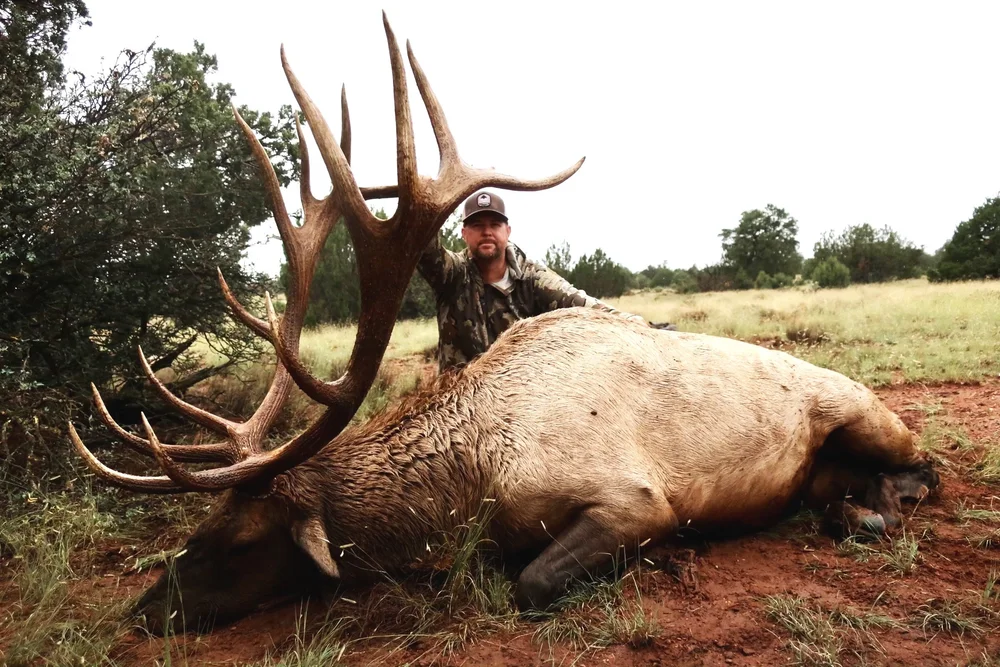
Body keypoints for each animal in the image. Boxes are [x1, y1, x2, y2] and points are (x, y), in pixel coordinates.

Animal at [68, 14, 938, 634]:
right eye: (203, 522)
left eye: (239, 538)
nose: (142, 611)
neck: (470, 481)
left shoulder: (639, 498)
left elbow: (529, 579)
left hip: (866, 413)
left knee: (926, 467)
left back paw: (872, 508)